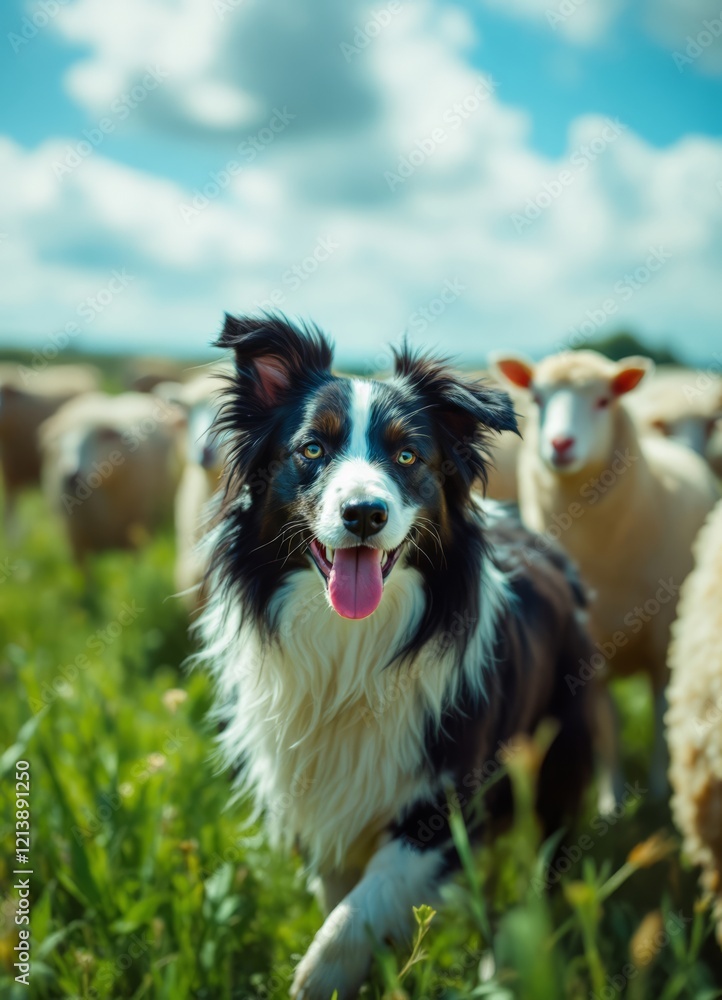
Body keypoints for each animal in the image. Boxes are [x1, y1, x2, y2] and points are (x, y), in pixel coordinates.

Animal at [490, 349, 720, 805]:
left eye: (602, 401)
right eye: (537, 399)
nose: (560, 445)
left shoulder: (663, 638)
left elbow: (661, 712)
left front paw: (656, 790)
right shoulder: (591, 647)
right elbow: (607, 722)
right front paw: (612, 796)